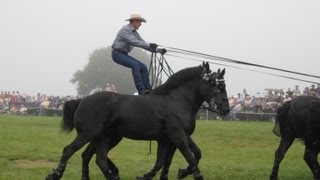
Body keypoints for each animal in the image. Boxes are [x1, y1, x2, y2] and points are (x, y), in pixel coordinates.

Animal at [45, 62, 230, 180]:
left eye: (224, 85)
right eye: (214, 84)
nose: (226, 109)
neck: (177, 101)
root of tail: (82, 100)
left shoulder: (171, 139)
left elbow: (171, 160)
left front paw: (174, 173)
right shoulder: (177, 136)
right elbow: (189, 157)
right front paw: (194, 175)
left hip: (104, 137)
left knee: (96, 157)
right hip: (90, 134)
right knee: (70, 151)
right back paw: (55, 175)